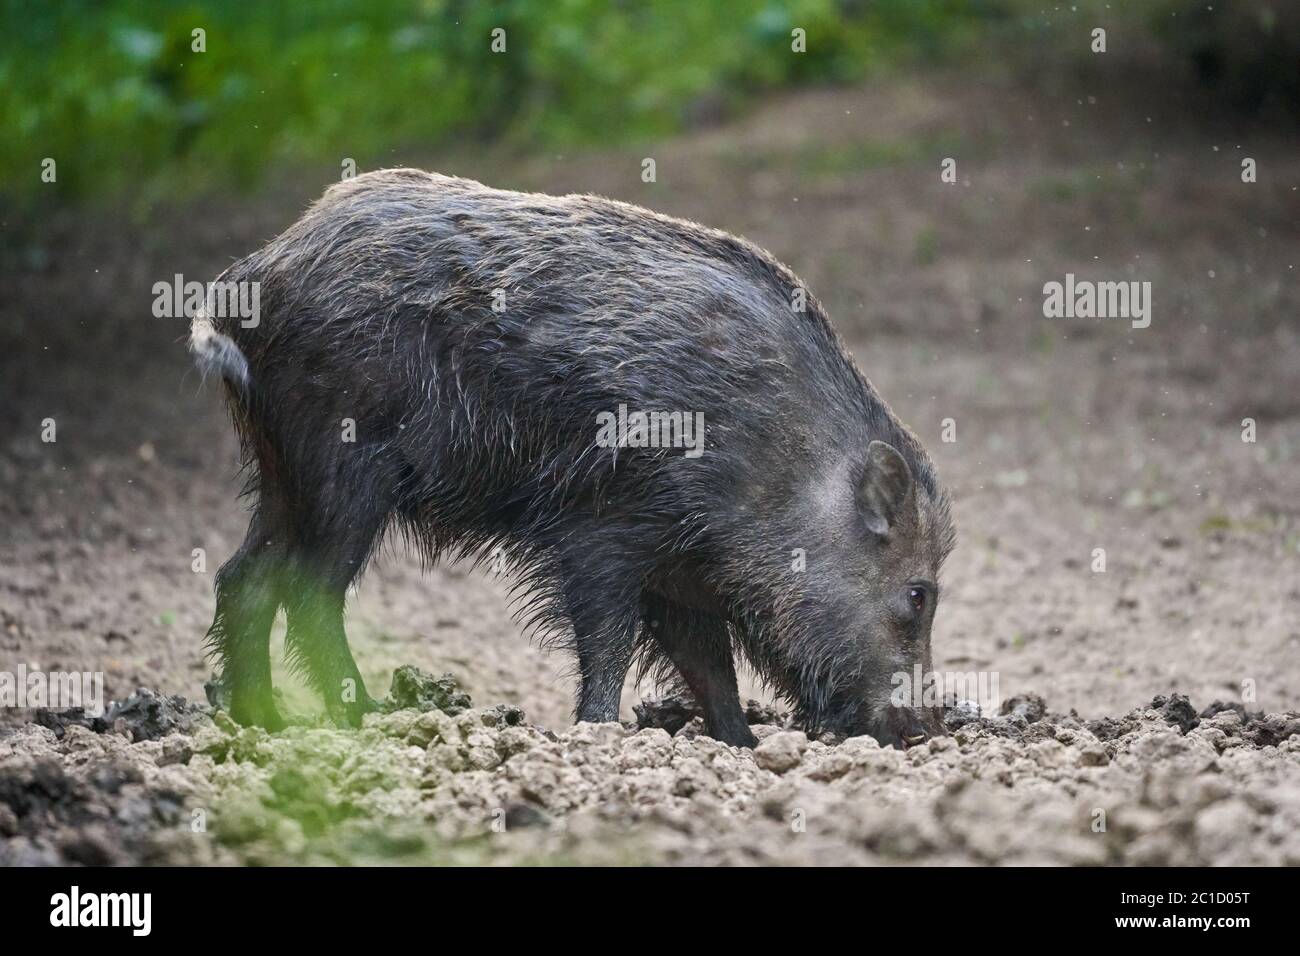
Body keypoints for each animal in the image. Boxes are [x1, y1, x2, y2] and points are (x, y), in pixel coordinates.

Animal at [190, 169, 954, 749]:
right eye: (919, 594)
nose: (923, 729)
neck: (771, 465)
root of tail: (247, 281)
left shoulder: (680, 571)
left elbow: (708, 662)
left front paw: (739, 744)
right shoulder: (600, 530)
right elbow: (610, 643)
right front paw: (598, 733)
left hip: (281, 473)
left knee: (242, 578)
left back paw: (265, 721)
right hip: (343, 471)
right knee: (307, 590)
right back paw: (362, 717)